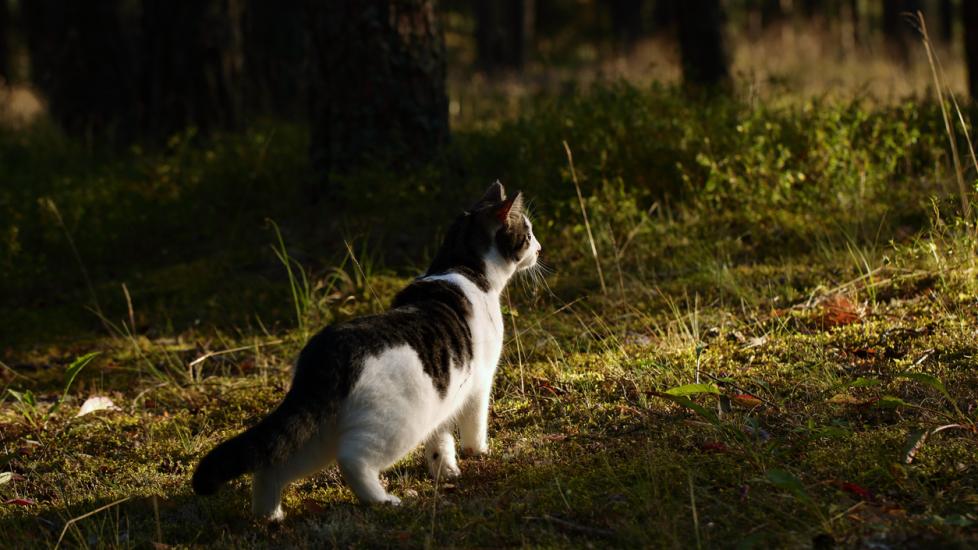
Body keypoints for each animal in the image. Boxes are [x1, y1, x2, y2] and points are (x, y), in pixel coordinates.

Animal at [191, 182, 540, 520]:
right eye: (528, 233)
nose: (538, 249)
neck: (461, 265)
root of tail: (326, 352)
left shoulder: (446, 395)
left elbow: (440, 439)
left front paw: (445, 470)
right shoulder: (479, 384)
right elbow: (474, 425)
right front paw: (478, 453)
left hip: (318, 432)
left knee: (273, 465)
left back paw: (270, 515)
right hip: (393, 426)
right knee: (352, 461)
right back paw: (383, 500)